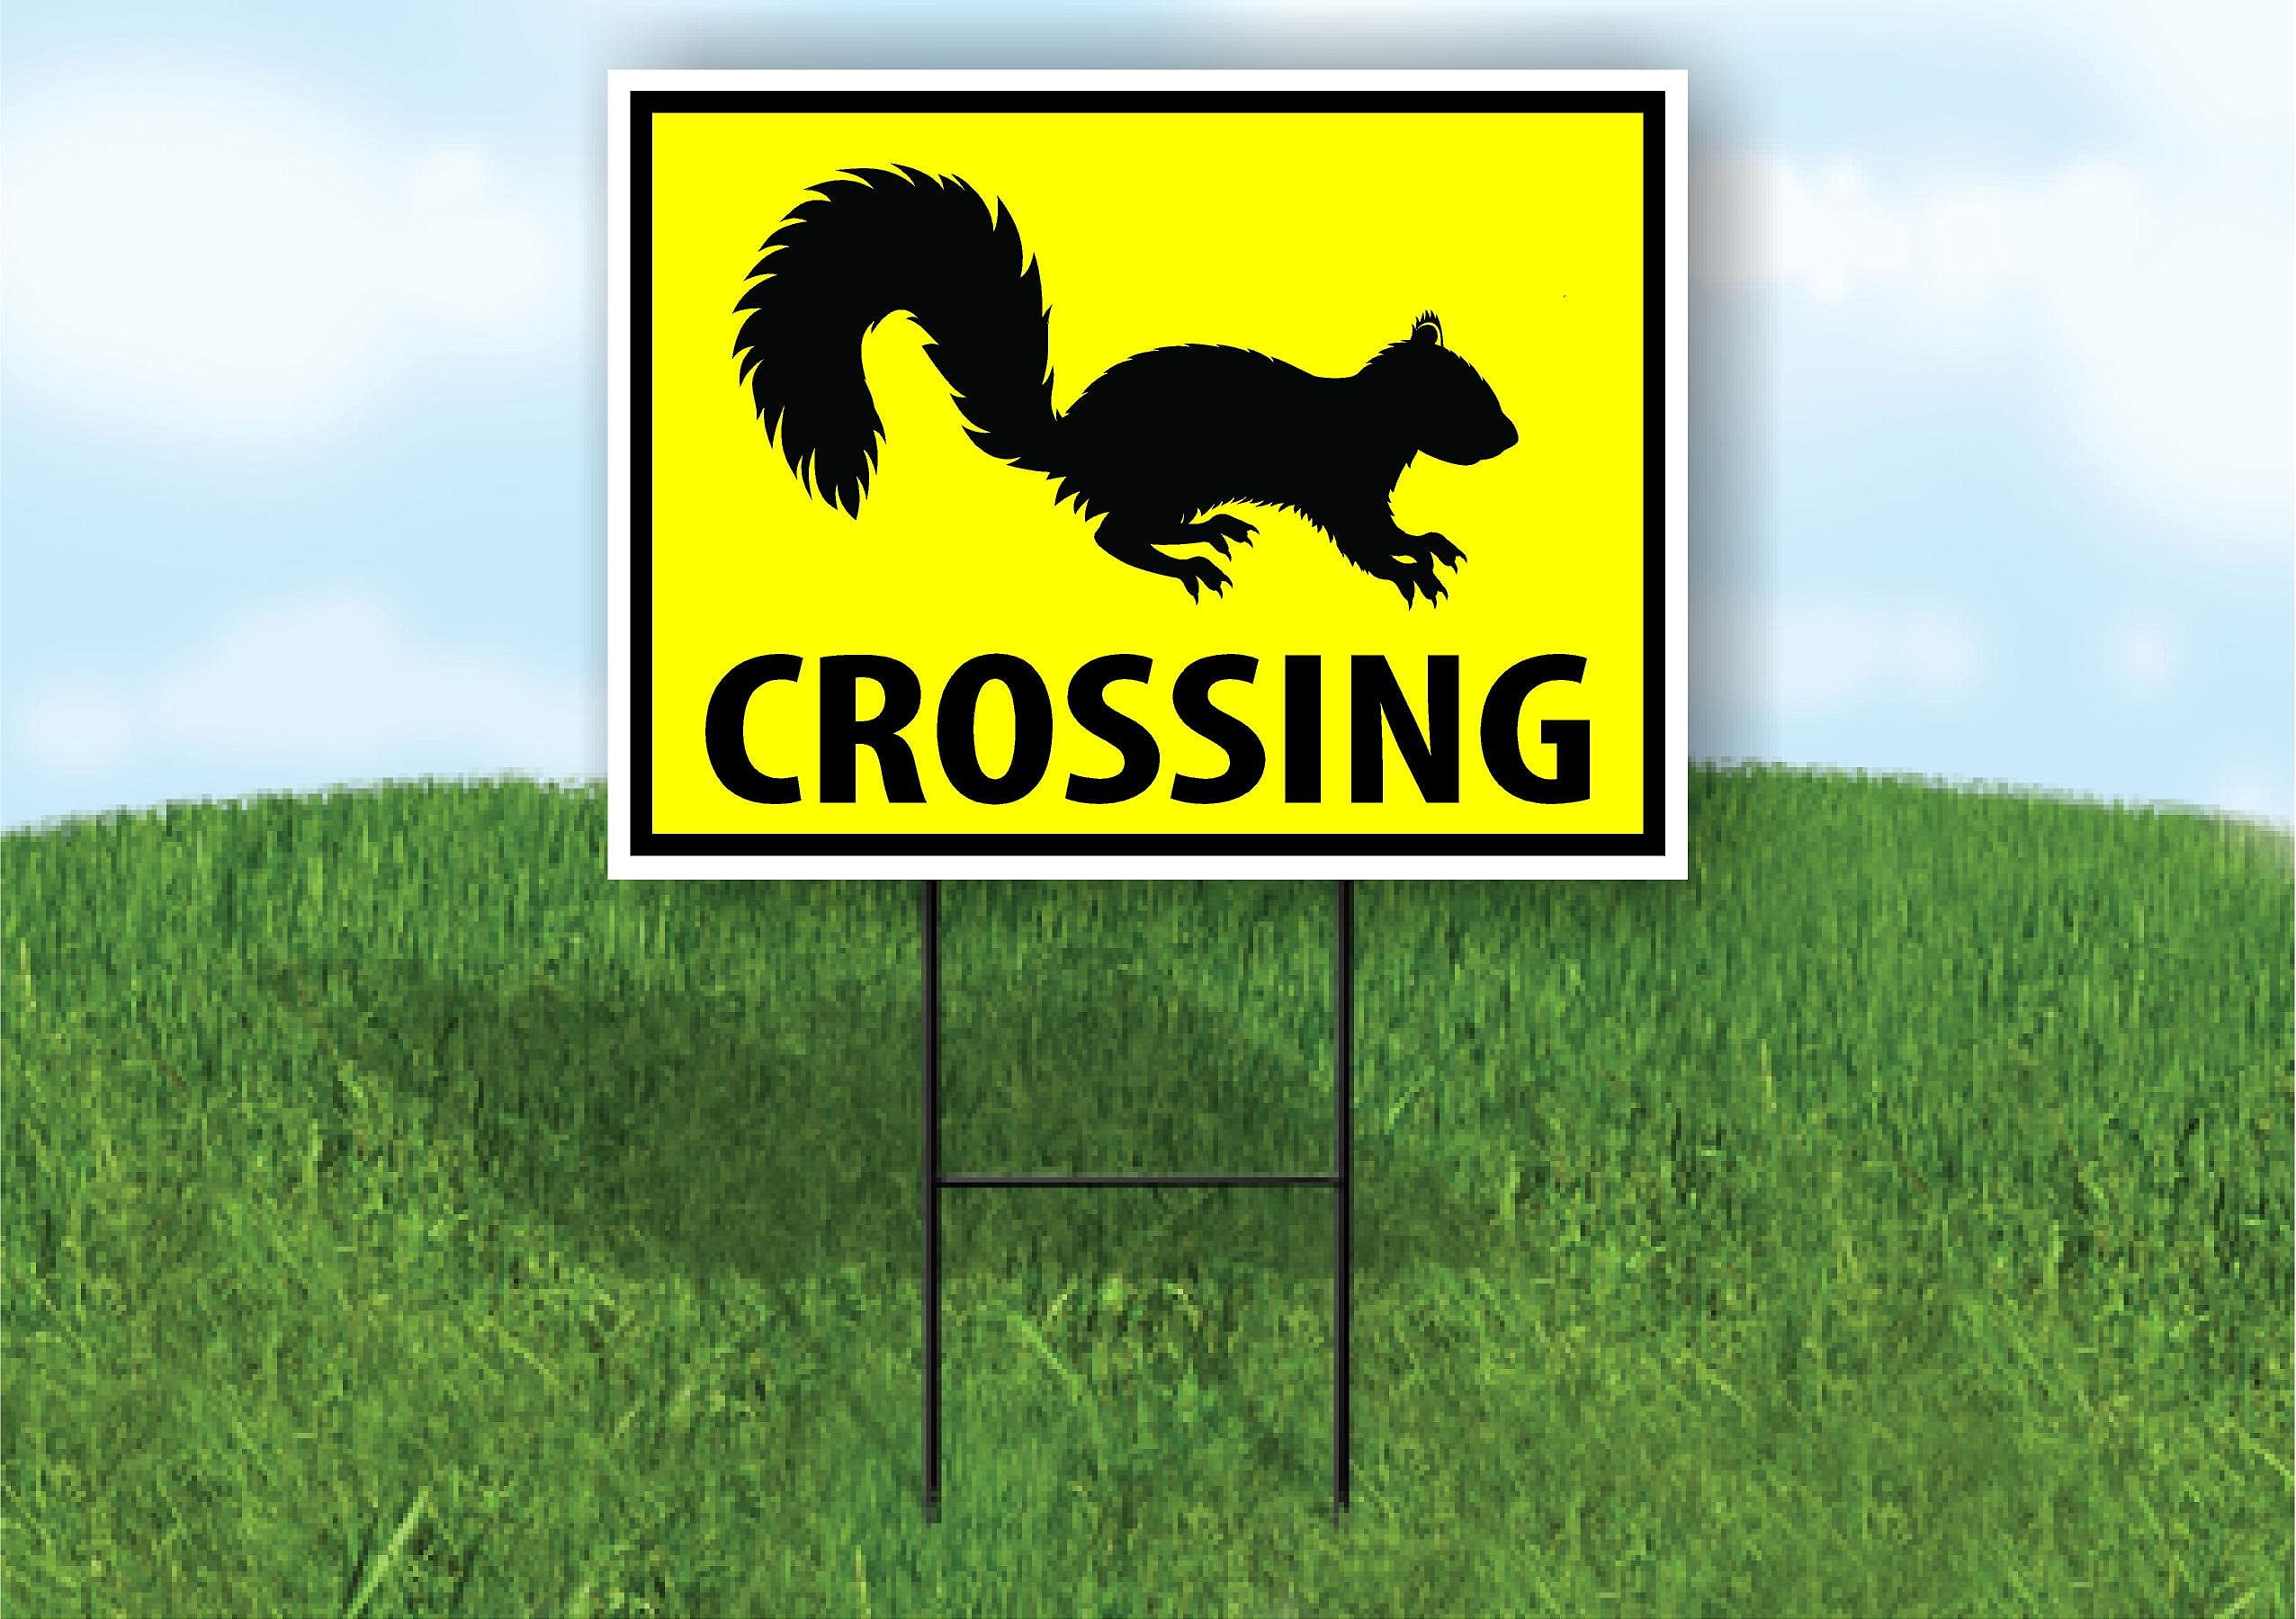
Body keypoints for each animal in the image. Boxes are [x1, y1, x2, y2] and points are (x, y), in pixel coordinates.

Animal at [732, 165, 1518, 606]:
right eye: (1467, 401)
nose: (1511, 436)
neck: (1370, 418)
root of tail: (1076, 444)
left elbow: (1385, 527)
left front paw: (1426, 544)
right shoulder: (1339, 483)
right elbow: (1364, 537)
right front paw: (1410, 569)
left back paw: (1213, 531)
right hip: (1161, 476)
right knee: (1116, 536)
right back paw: (1191, 565)